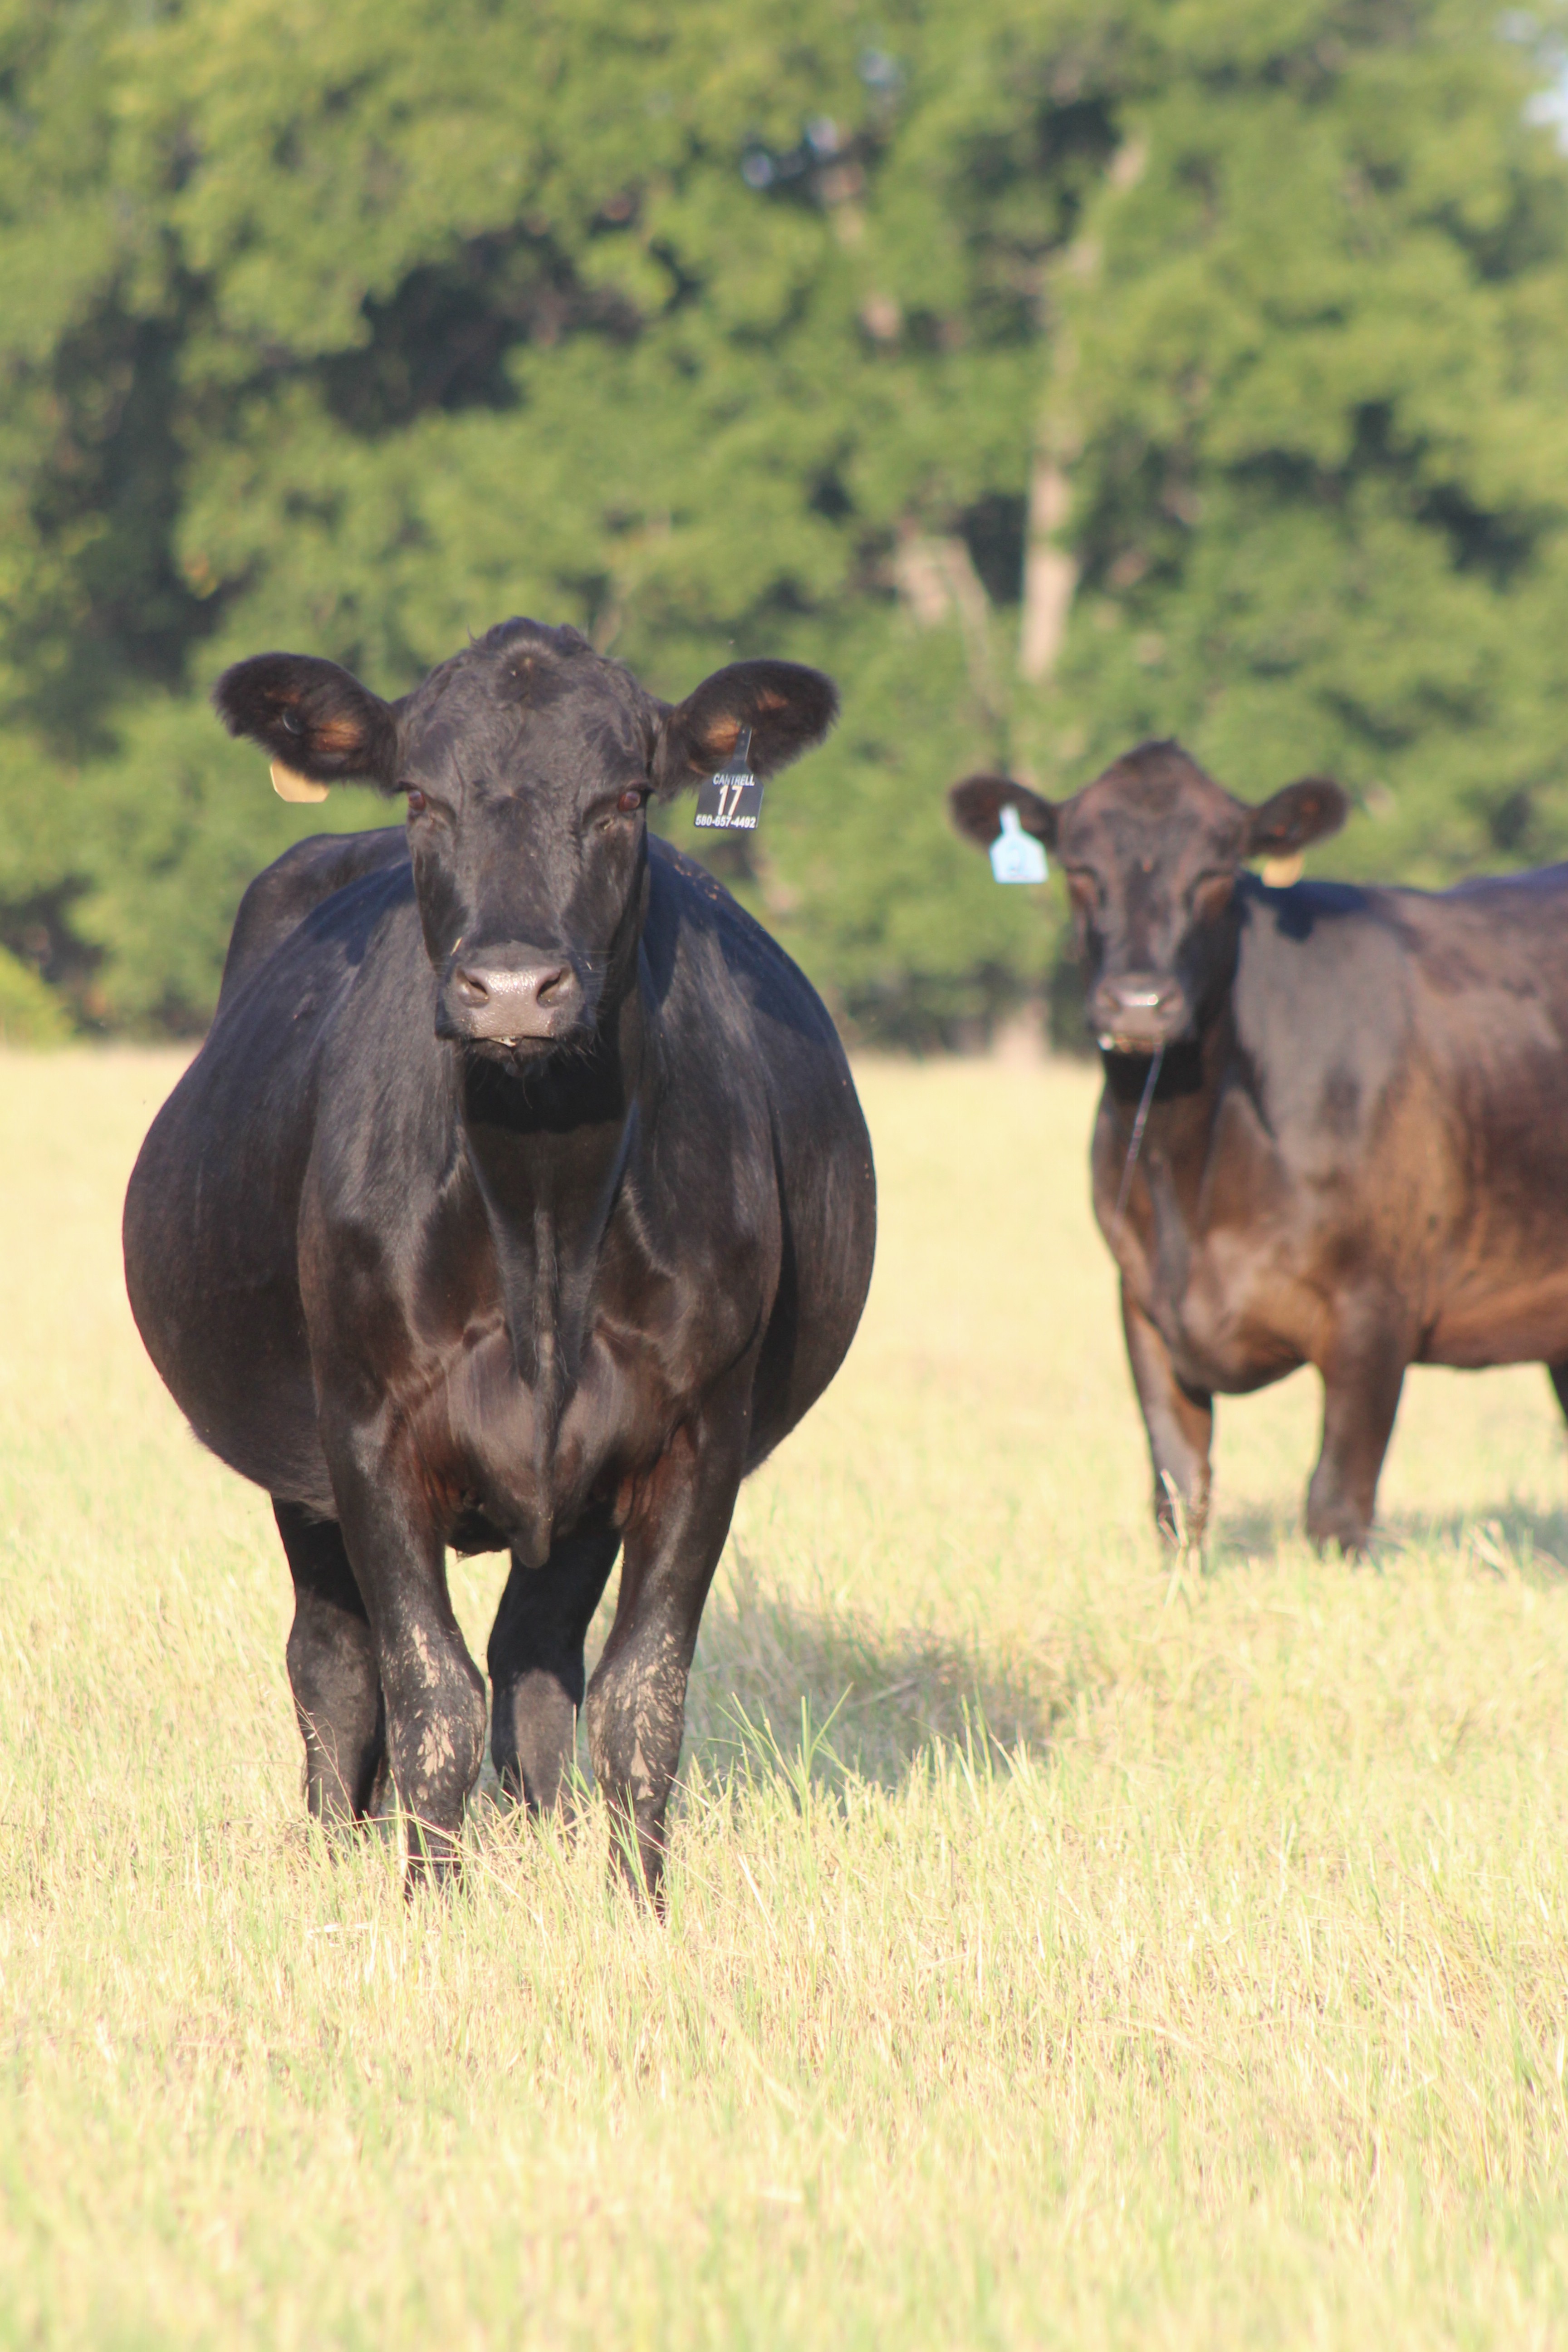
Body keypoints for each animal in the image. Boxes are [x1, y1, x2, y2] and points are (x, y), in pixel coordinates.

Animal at [124, 619, 876, 1895]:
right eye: (424, 795)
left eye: (625, 795)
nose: (513, 987)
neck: (541, 1223)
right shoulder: (364, 1429)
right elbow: (430, 1696)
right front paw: (426, 1906)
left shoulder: (696, 1433)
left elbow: (637, 1701)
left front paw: (635, 1906)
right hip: (298, 1463)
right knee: (336, 1662)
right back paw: (337, 1850)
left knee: (534, 1663)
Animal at [950, 738, 1568, 1555]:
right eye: (1079, 867)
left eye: (1217, 871)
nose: (1138, 1004)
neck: (1188, 1176)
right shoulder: (1142, 1301)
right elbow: (1178, 1491)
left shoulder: (1376, 1309)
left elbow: (1336, 1505)